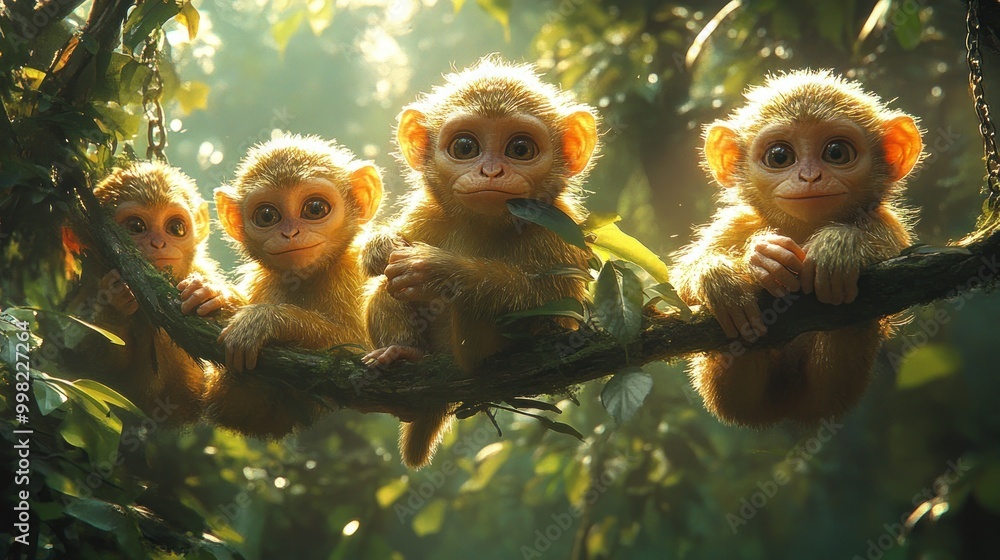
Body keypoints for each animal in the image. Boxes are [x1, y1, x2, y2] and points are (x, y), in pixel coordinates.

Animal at [60, 161, 237, 426]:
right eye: (136, 227)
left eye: (175, 228)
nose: (158, 243)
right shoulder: (81, 298)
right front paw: (115, 302)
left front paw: (207, 293)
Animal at [204, 134, 382, 439]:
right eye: (267, 215)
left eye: (315, 208)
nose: (290, 233)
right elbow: (247, 409)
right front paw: (212, 295)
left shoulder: (352, 275)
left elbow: (358, 358)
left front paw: (265, 320)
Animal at [361, 56, 600, 469]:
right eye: (465, 147)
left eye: (519, 149)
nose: (491, 172)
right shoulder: (428, 213)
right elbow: (386, 259)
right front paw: (381, 245)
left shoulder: (558, 228)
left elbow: (551, 308)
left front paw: (439, 270)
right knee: (386, 288)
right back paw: (402, 351)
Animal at [672, 69, 924, 427]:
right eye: (780, 156)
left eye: (836, 152)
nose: (809, 176)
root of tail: (785, 408)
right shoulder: (737, 222)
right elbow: (677, 287)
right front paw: (742, 267)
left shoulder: (884, 222)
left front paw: (839, 248)